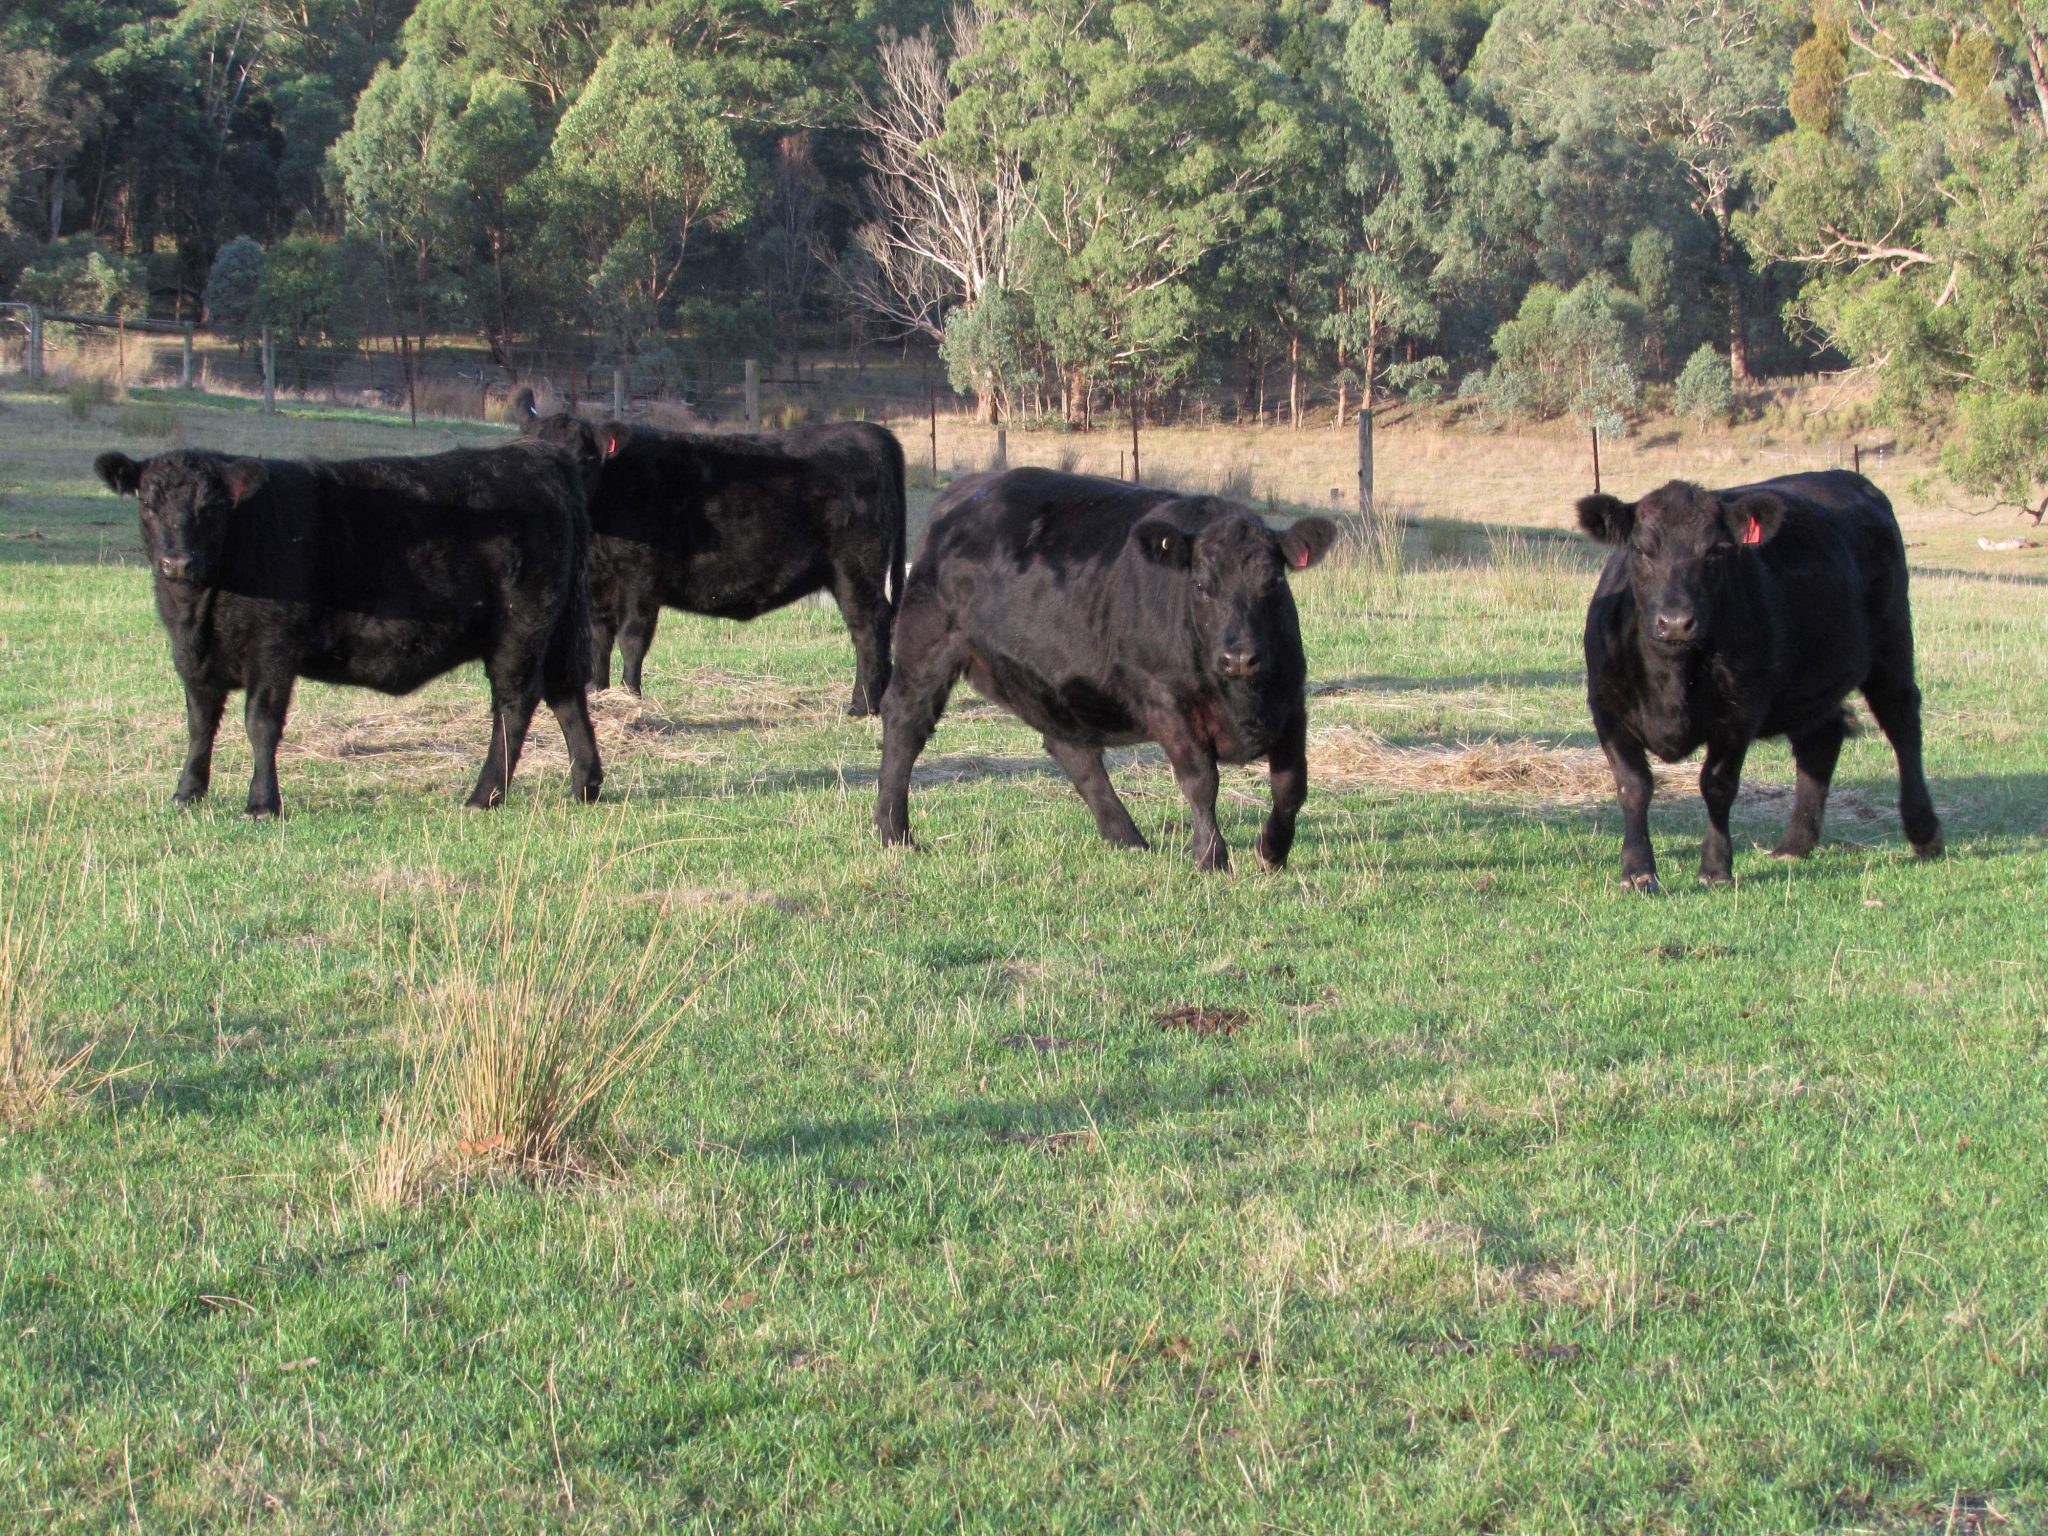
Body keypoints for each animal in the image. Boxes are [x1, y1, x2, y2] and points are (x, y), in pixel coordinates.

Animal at [93, 442, 603, 818]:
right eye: (147, 502)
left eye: (213, 506)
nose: (177, 561)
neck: (198, 610)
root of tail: (537, 454)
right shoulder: (194, 660)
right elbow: (200, 723)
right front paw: (187, 792)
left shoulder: (272, 648)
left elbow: (260, 723)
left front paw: (262, 804)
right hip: (557, 629)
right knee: (566, 693)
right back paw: (586, 785)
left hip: (521, 628)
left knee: (514, 704)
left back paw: (485, 795)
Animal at [514, 391, 905, 714]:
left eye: (583, 460)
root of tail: (871, 431)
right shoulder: (597, 585)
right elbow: (598, 642)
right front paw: (598, 694)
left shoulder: (642, 577)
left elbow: (631, 638)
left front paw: (631, 697)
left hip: (855, 566)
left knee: (868, 625)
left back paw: (862, 706)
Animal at [874, 468, 1338, 871]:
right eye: (1201, 586)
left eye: (1273, 583)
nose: (1239, 657)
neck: (1240, 699)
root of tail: (964, 492)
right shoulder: (1165, 698)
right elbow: (1201, 781)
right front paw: (1211, 858)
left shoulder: (1292, 700)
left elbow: (1291, 786)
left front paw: (1272, 851)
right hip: (927, 642)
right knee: (904, 723)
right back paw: (894, 832)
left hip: (1049, 681)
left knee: (1073, 751)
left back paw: (1126, 837)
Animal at [1577, 470, 1940, 892]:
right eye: (1640, 549)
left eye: (1716, 550)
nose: (1676, 622)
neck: (1670, 679)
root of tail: (1850, 478)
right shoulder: (1606, 707)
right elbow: (1633, 786)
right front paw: (1638, 871)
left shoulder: (1740, 712)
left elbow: (1717, 786)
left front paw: (1716, 867)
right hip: (1811, 683)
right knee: (1821, 741)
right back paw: (1795, 844)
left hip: (1891, 645)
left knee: (1903, 724)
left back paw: (1924, 832)